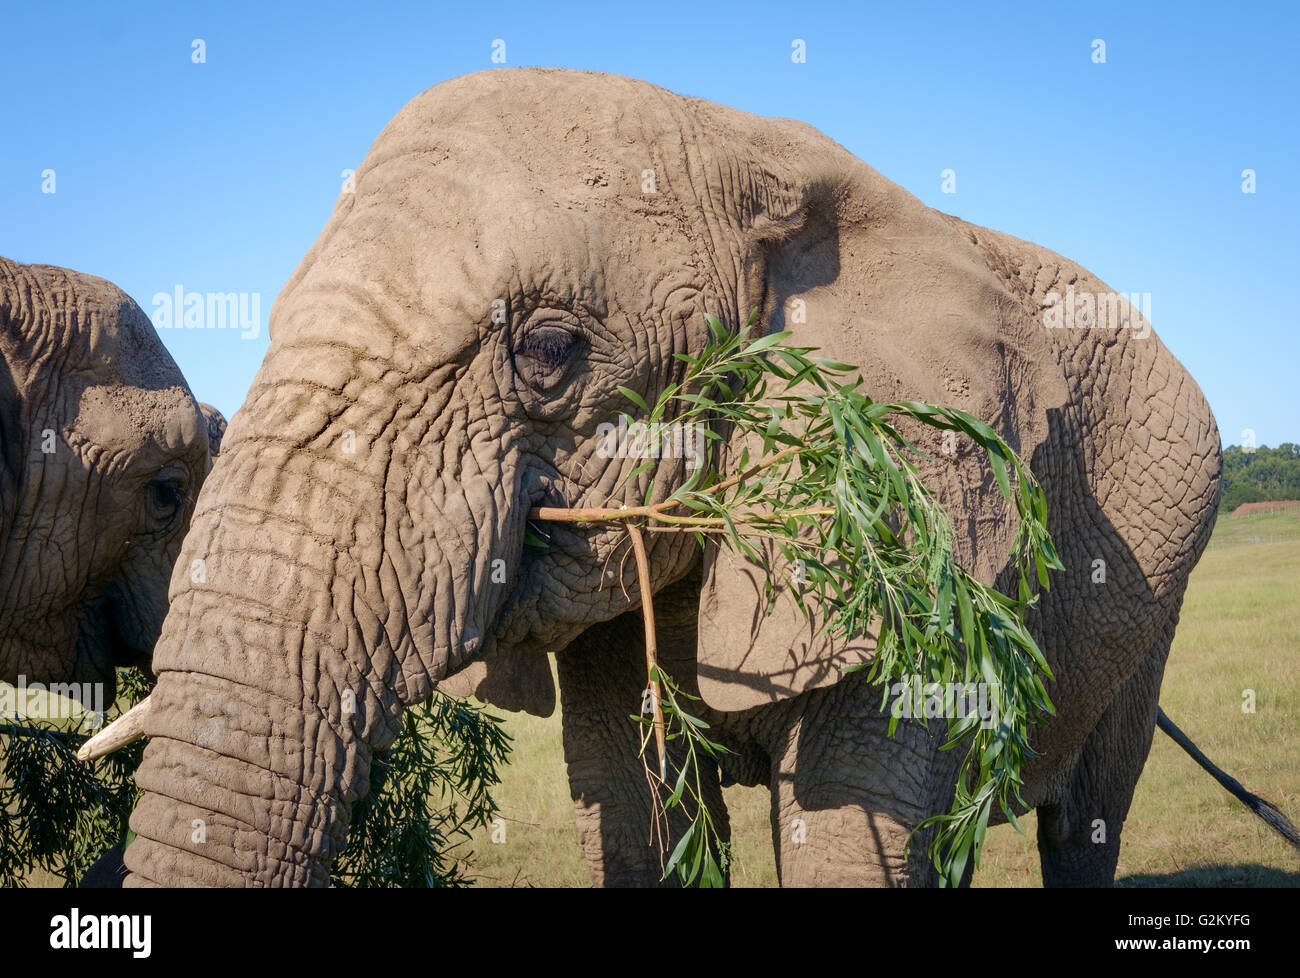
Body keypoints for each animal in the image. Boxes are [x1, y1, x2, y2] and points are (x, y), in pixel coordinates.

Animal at [112, 68, 1229, 887]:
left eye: (548, 348)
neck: (746, 146)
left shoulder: (922, 519)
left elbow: (844, 833)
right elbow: (637, 817)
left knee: (1082, 827)